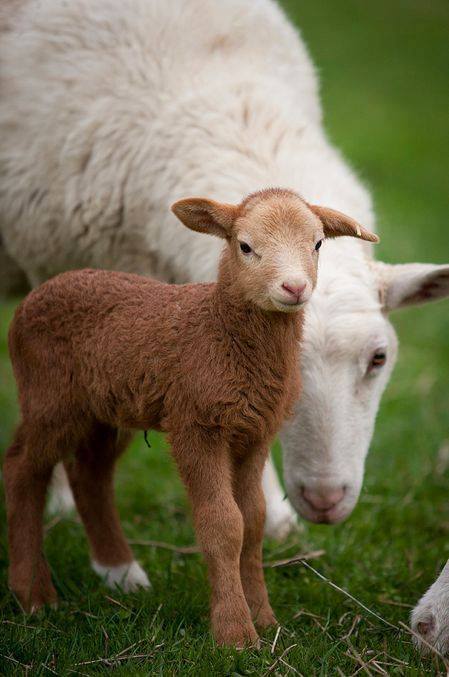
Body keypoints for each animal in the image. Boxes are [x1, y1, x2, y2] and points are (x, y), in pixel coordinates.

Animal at [4, 189, 377, 646]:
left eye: (318, 244)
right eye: (245, 246)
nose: (294, 287)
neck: (220, 330)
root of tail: (36, 296)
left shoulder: (255, 432)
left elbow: (253, 520)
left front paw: (265, 619)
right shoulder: (196, 425)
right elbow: (223, 524)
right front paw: (235, 634)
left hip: (104, 408)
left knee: (89, 472)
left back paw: (121, 573)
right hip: (49, 395)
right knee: (22, 468)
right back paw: (34, 594)